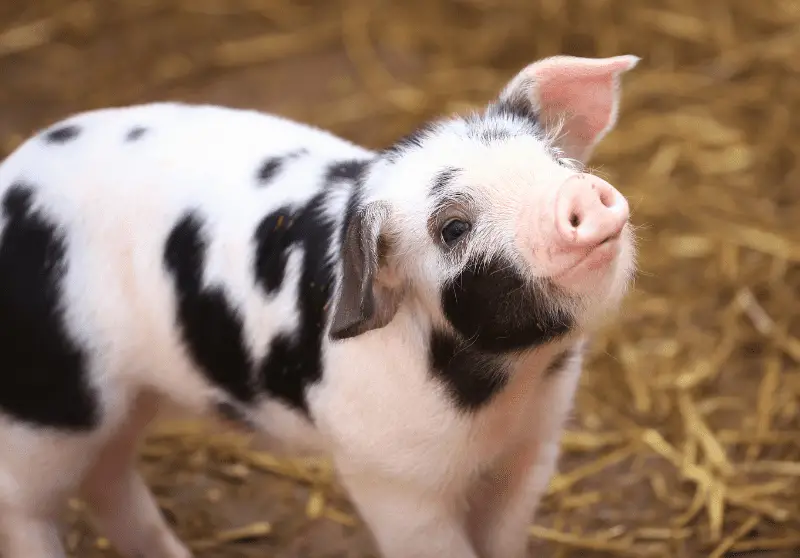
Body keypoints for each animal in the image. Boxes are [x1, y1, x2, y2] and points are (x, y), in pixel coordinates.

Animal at [0, 54, 638, 558]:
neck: (506, 391)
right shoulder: (390, 476)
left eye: (559, 163)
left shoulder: (532, 449)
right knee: (27, 509)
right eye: (453, 228)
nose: (577, 191)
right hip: (42, 411)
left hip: (118, 406)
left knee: (108, 480)